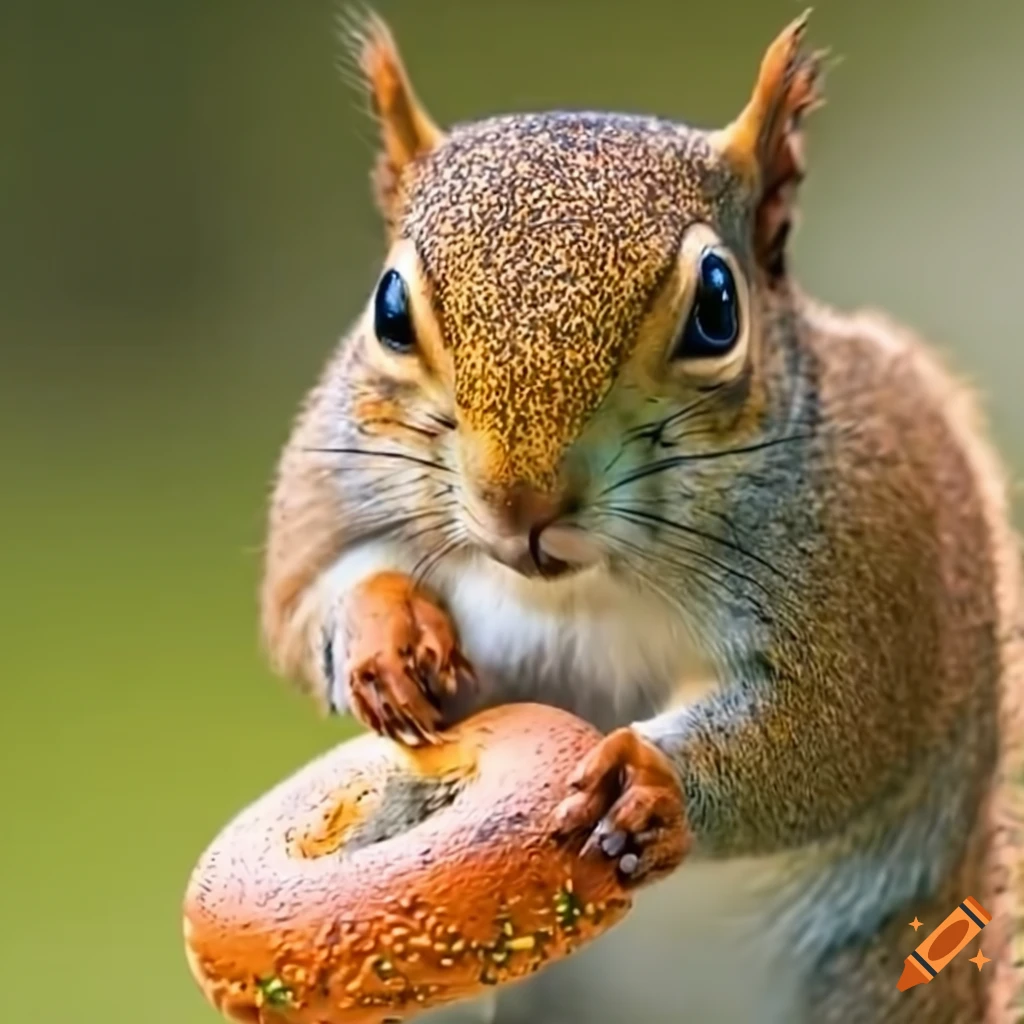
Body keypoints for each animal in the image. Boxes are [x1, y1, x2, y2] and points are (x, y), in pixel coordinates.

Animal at [259, 10, 1024, 1024]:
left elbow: (837, 727)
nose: (522, 504)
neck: (585, 588)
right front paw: (384, 638)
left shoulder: (881, 565)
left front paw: (655, 787)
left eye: (717, 306)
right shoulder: (326, 489)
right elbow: (299, 595)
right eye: (389, 308)